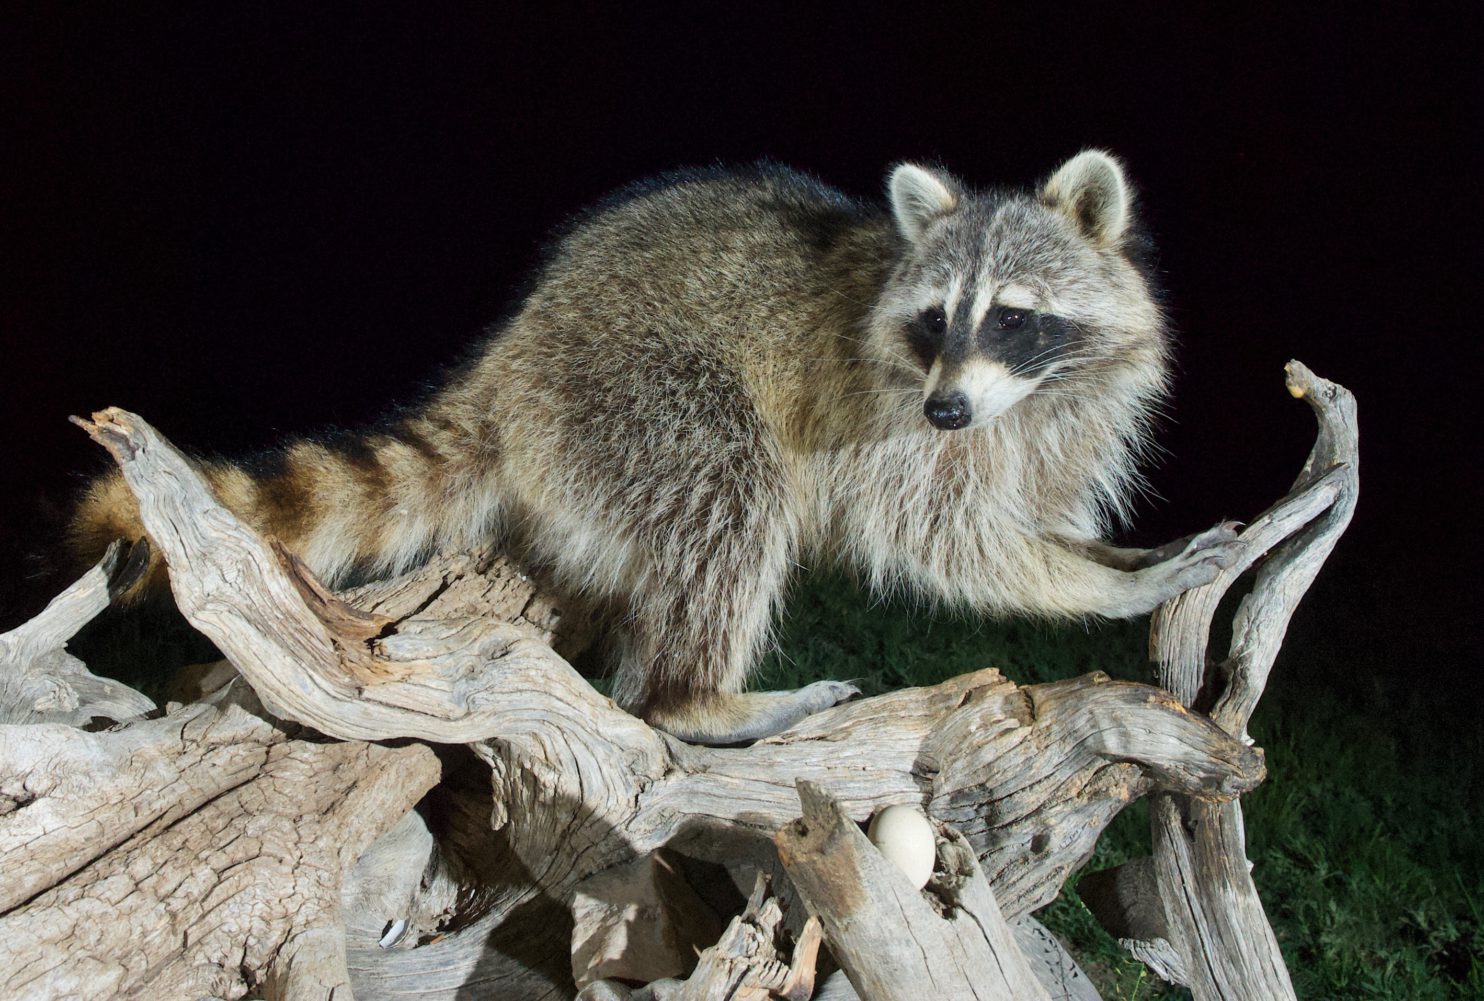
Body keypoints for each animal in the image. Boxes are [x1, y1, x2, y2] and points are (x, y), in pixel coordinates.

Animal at [70, 151, 1240, 744]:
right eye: (933, 319)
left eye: (1009, 316)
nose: (950, 411)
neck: (1015, 399)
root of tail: (512, 354)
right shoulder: (888, 420)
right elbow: (939, 538)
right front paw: (1105, 586)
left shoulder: (1053, 416)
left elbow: (1023, 511)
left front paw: (1106, 556)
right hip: (632, 391)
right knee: (727, 492)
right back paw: (695, 696)